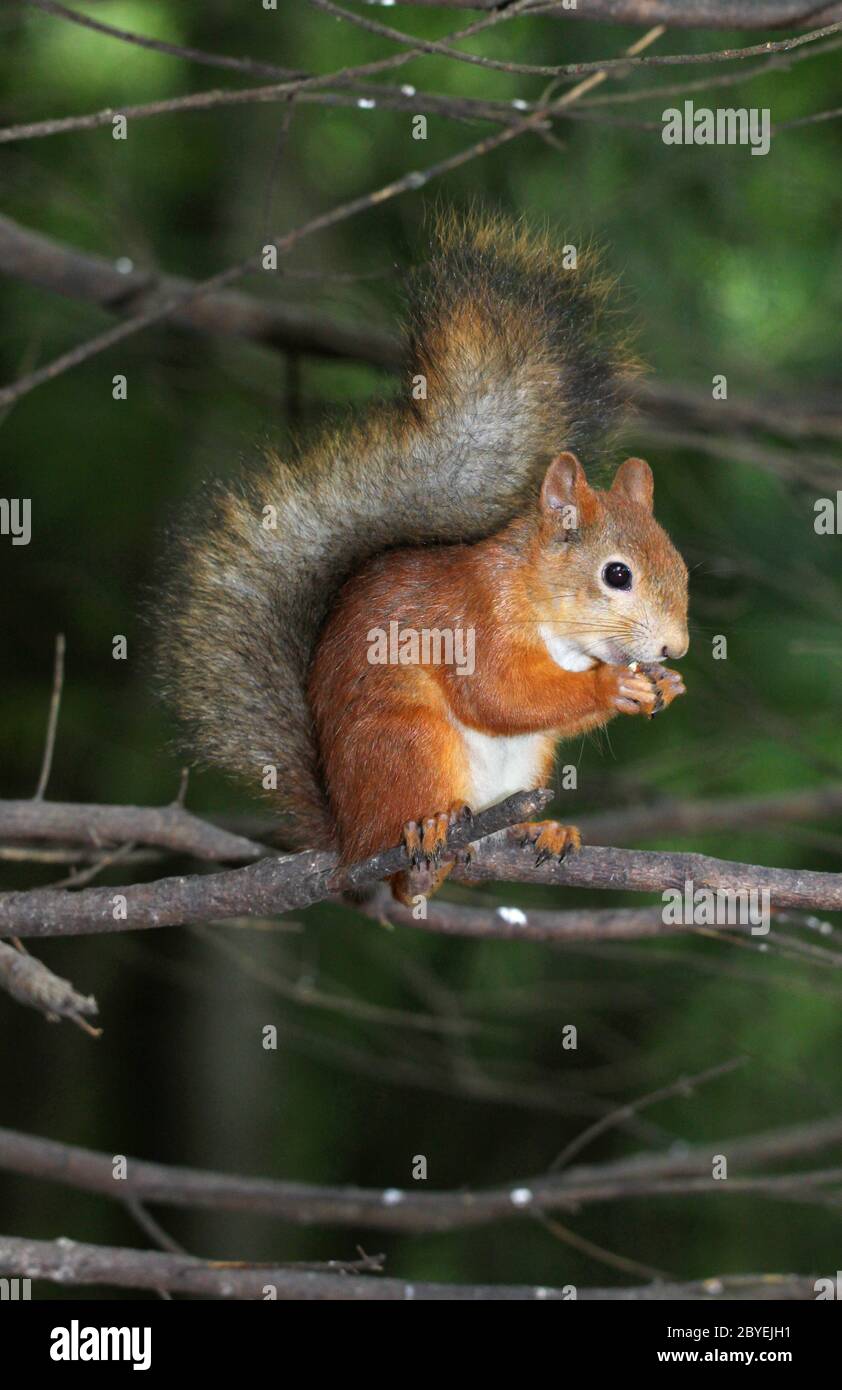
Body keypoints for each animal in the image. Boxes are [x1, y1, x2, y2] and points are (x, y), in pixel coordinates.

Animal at [157, 210, 689, 905]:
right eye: (617, 574)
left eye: (681, 568)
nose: (676, 648)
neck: (541, 601)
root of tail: (345, 840)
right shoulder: (472, 618)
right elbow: (499, 693)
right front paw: (610, 685)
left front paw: (667, 685)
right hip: (407, 743)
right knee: (407, 857)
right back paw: (426, 842)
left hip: (524, 765)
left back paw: (538, 830)